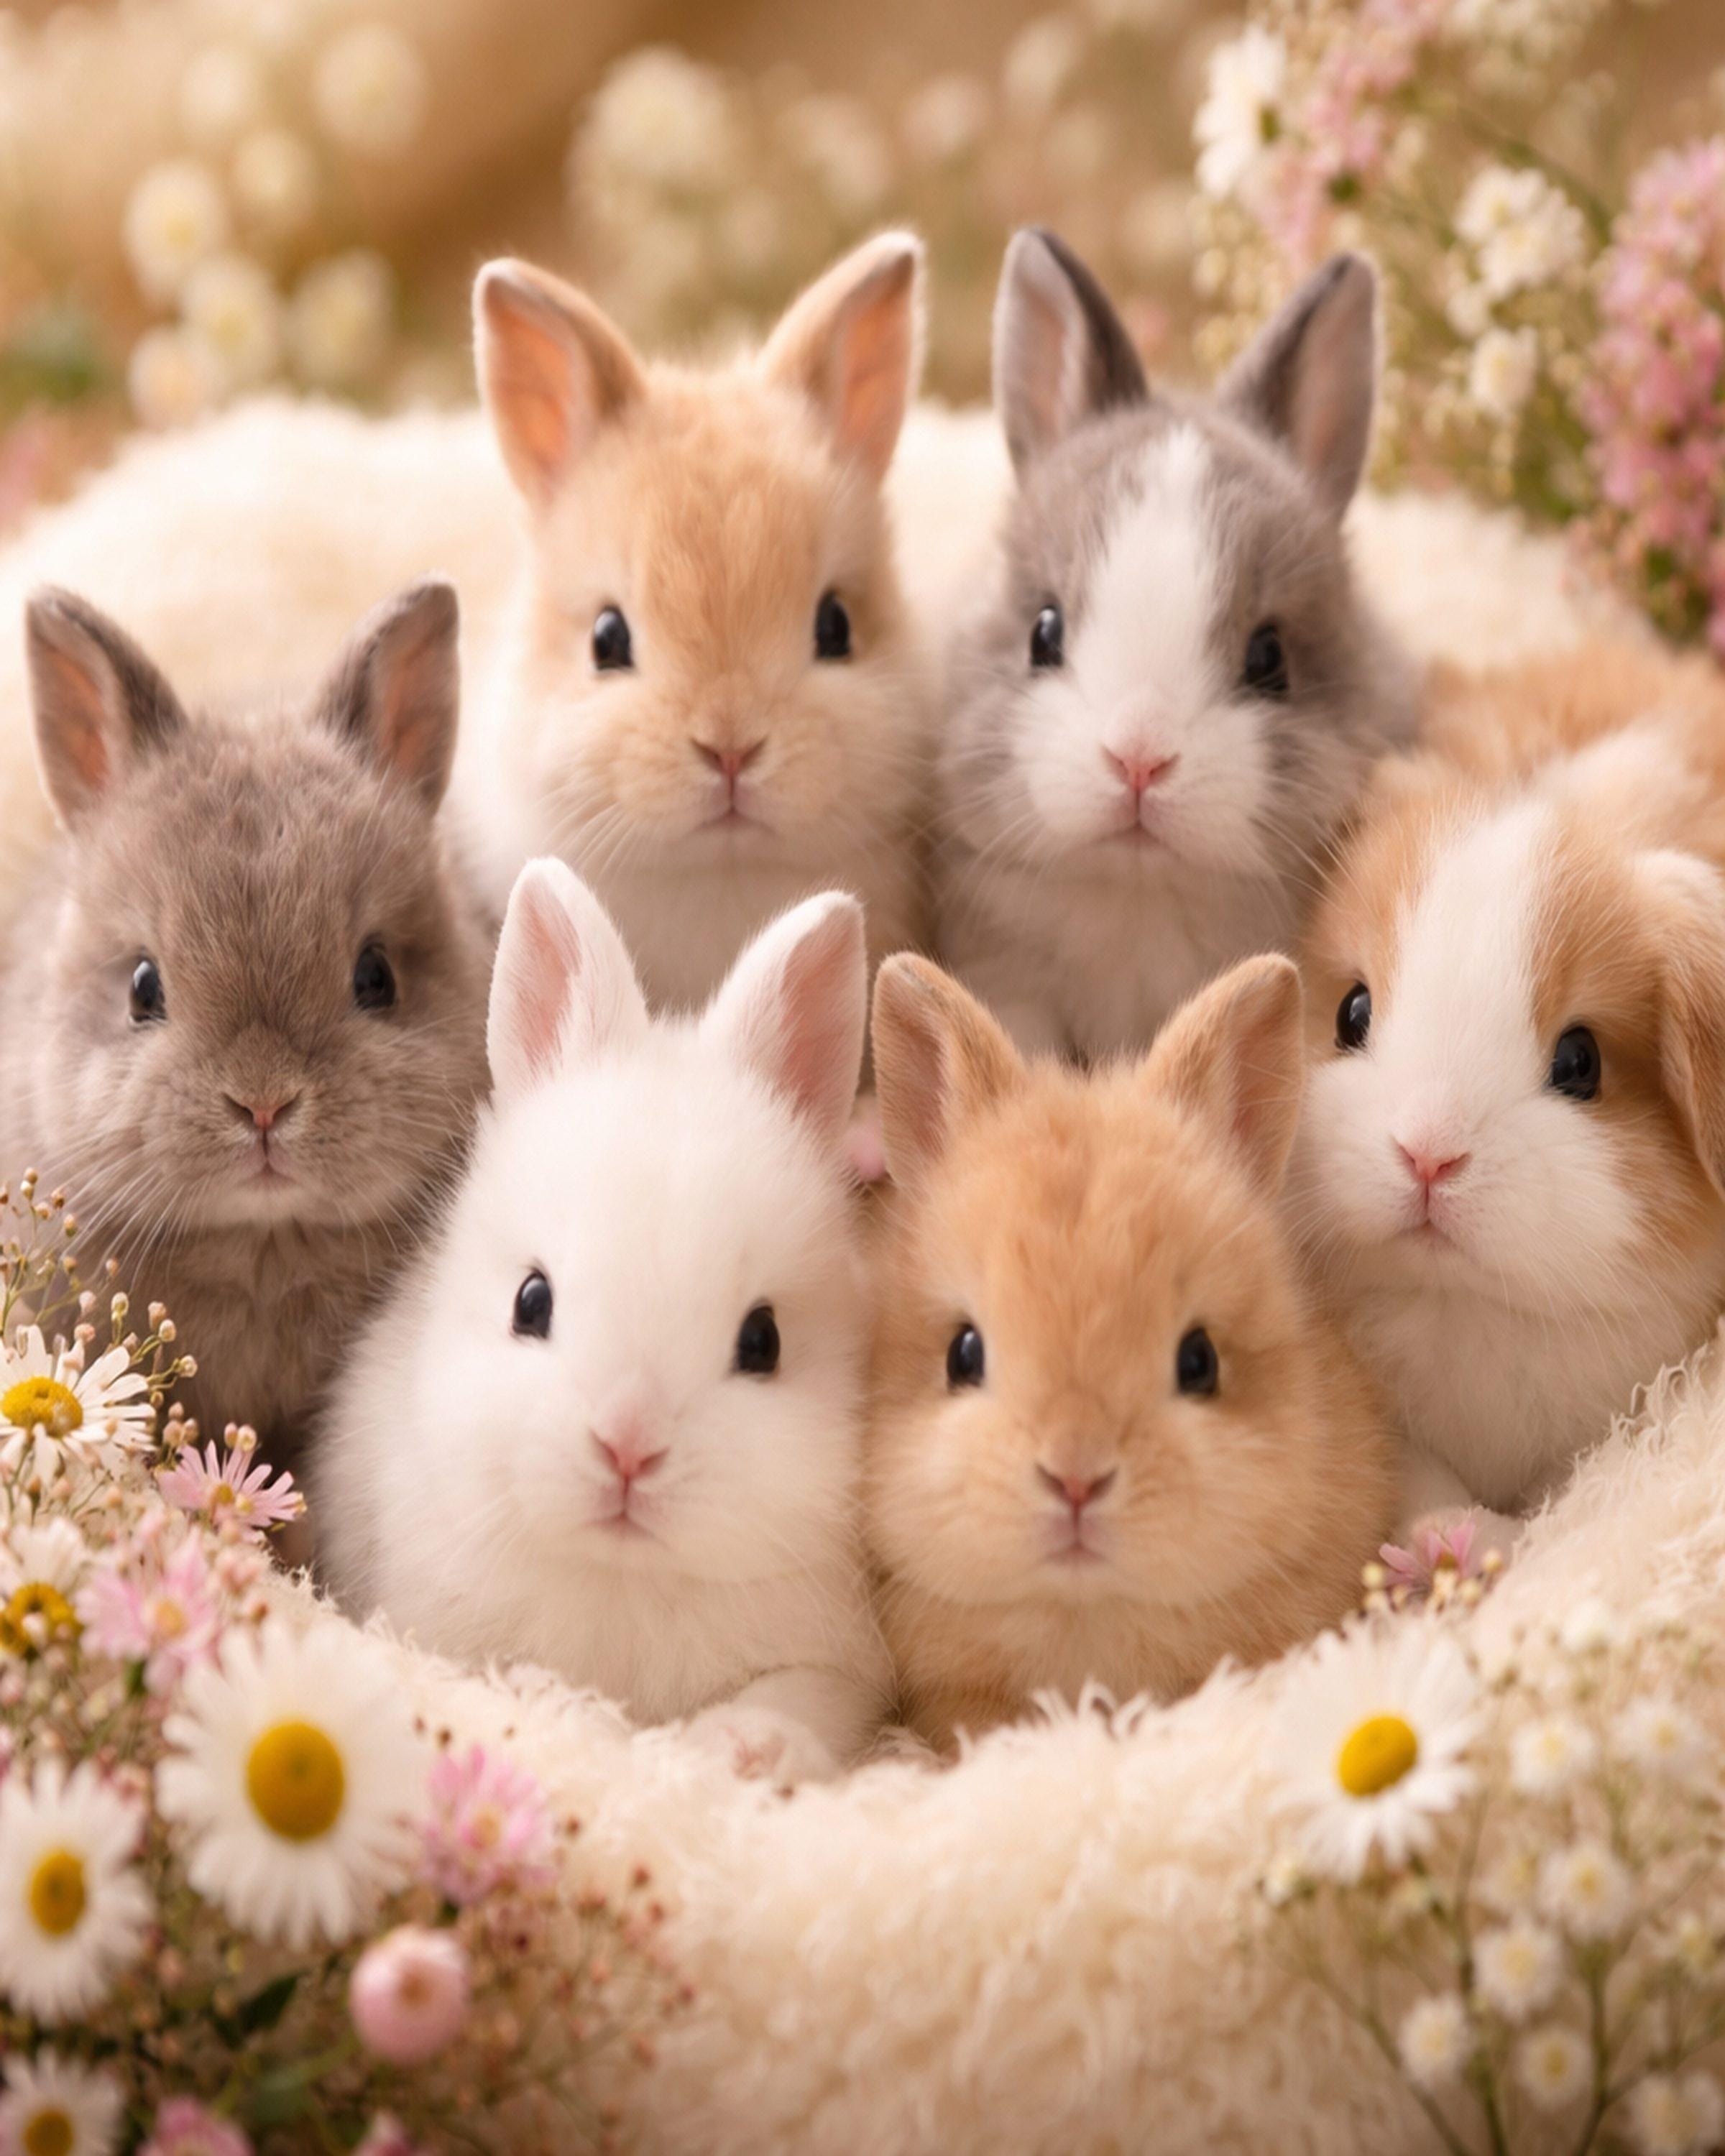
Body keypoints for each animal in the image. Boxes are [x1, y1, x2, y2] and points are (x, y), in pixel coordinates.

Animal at [317, 861, 892, 1783]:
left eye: (762, 1341)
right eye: (531, 1302)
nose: (628, 1448)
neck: (625, 1576)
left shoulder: (834, 1667)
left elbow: (793, 1704)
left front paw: (742, 1751)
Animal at [1291, 640, 1725, 1543]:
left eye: (1580, 1062)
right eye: (1352, 1012)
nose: (1428, 1156)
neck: (1462, 1304)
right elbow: (1423, 1485)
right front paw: (1446, 1539)